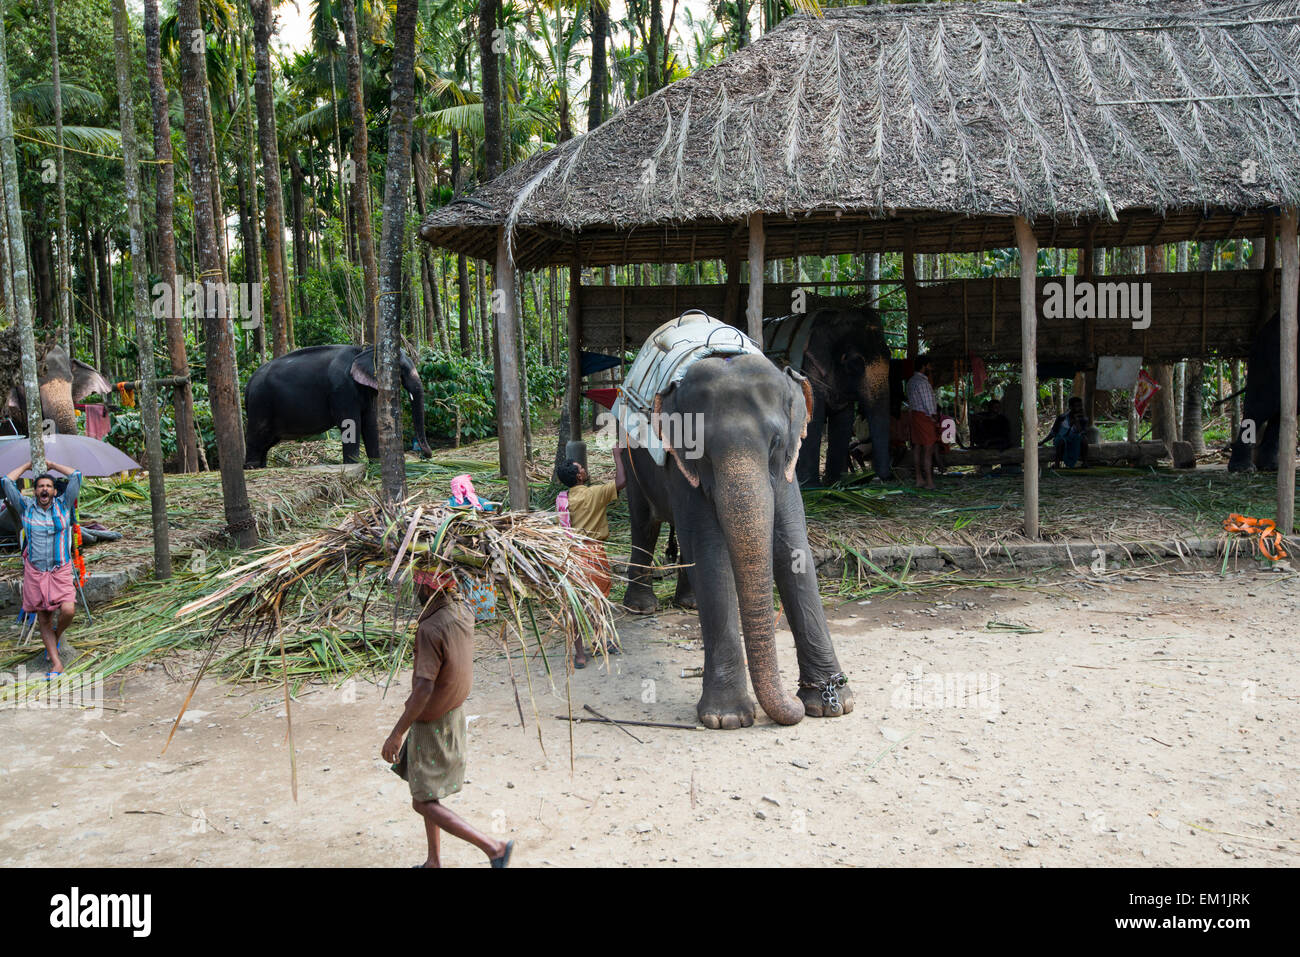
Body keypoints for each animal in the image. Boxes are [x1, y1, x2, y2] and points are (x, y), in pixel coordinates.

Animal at [243, 344, 433, 467]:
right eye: (401, 369)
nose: (426, 456)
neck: (364, 350)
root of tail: (248, 383)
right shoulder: (342, 389)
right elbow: (351, 422)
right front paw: (353, 464)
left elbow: (370, 422)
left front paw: (376, 464)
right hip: (260, 403)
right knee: (257, 434)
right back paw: (252, 468)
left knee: (266, 441)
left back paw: (261, 466)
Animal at [616, 313, 854, 729]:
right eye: (701, 450)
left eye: (775, 443)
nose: (792, 707)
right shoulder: (680, 465)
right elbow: (709, 551)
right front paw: (727, 719)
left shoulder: (788, 465)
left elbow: (791, 546)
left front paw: (832, 704)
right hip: (629, 452)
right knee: (644, 522)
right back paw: (642, 607)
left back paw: (687, 602)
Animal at [763, 307, 893, 485]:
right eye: (855, 363)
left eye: (890, 355)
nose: (882, 478)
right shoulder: (808, 368)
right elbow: (813, 417)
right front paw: (811, 486)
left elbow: (843, 419)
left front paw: (836, 482)